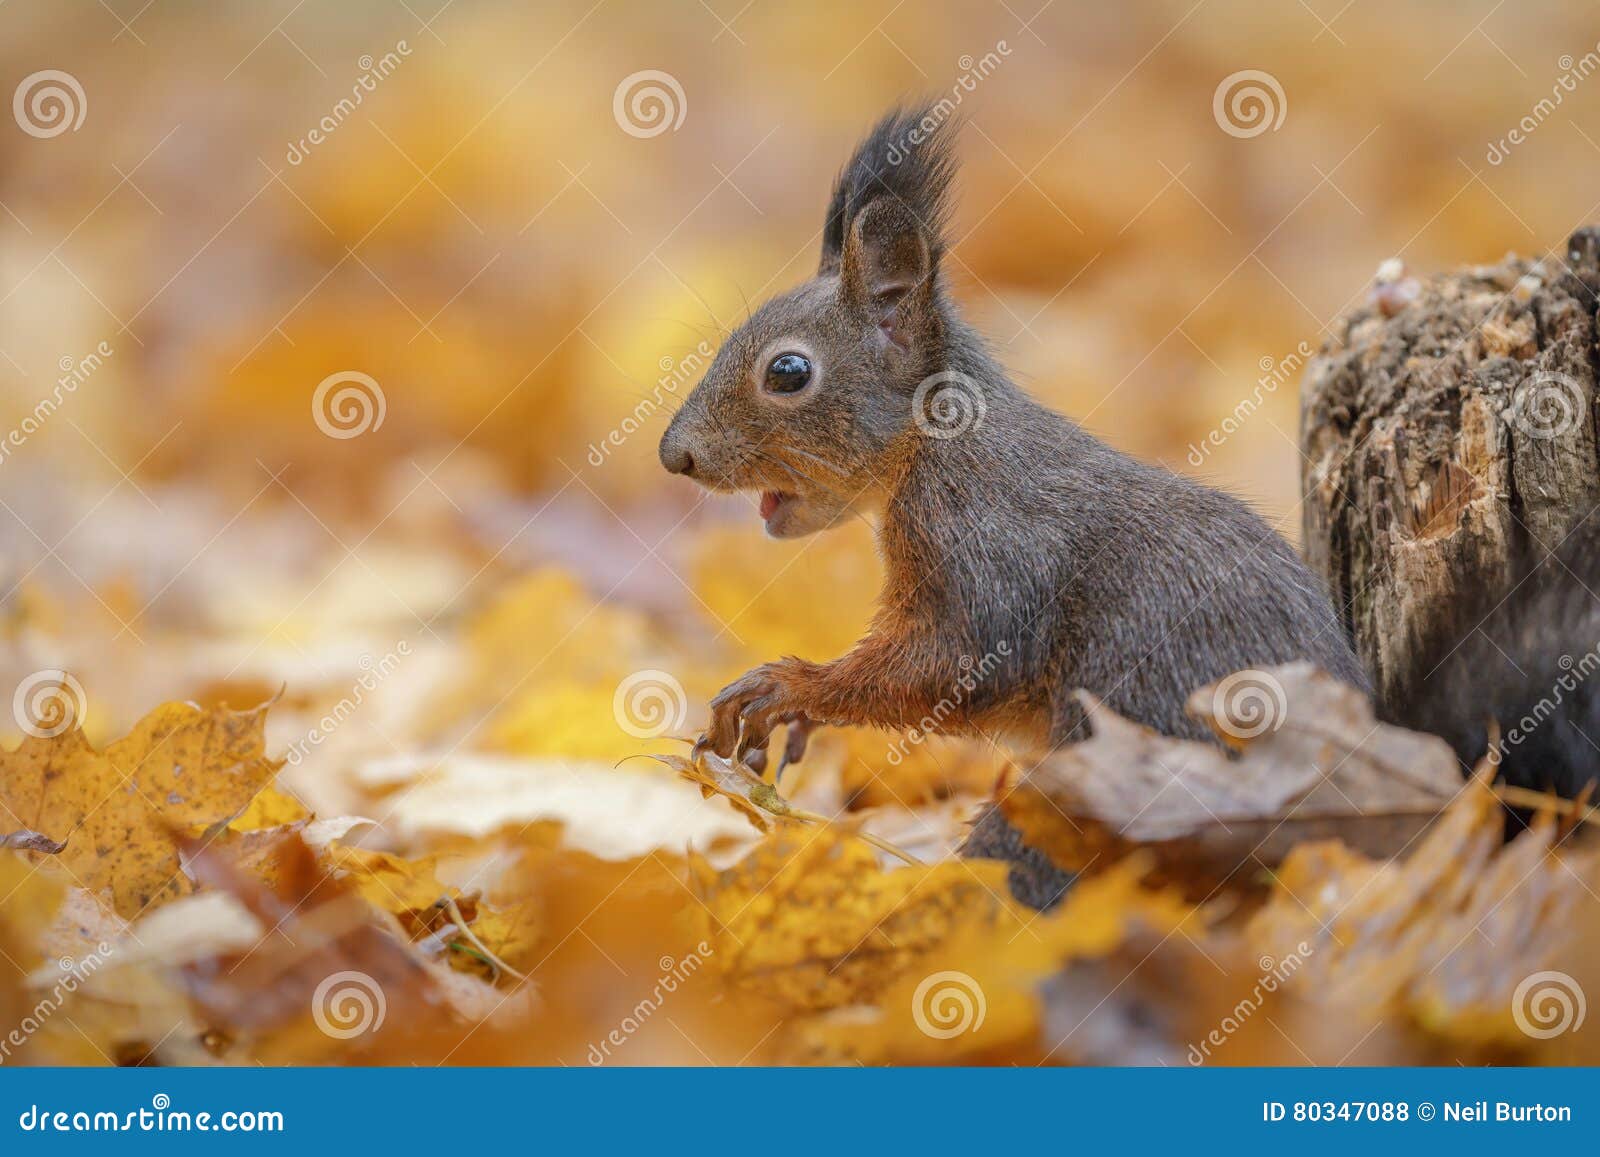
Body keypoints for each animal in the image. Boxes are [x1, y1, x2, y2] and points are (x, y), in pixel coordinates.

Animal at [657, 103, 1411, 908]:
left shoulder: (987, 545)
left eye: (789, 371)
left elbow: (948, 664)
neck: (937, 443)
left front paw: (791, 688)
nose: (676, 455)